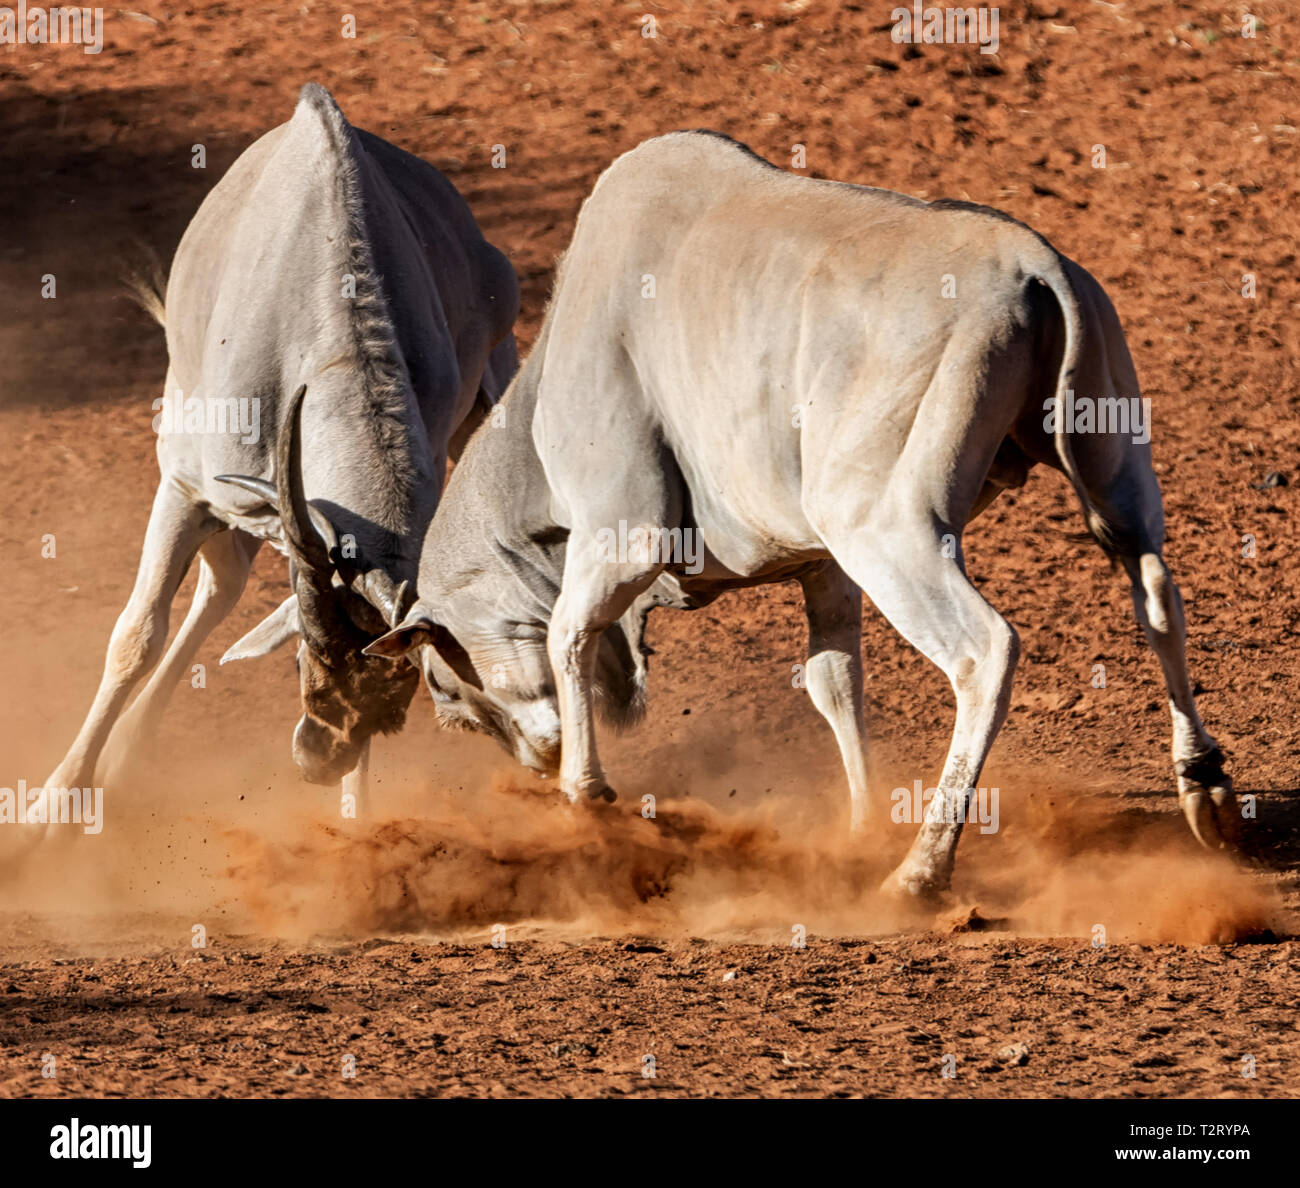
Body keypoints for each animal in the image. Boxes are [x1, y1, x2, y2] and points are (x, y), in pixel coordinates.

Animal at [40, 83, 518, 812]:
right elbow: (136, 635)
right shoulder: (185, 487)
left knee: (222, 584)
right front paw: (52, 808)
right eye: (305, 662)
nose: (317, 762)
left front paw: (357, 821)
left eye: (399, 685)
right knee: (217, 586)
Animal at [362, 130, 1236, 899]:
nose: (535, 765)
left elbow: (567, 633)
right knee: (1156, 591)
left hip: (885, 527)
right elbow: (834, 681)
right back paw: (1205, 789)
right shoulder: (823, 571)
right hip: (1113, 484)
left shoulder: (626, 535)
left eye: (449, 699)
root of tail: (1035, 266)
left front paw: (586, 793)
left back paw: (921, 871)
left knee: (984, 650)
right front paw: (856, 827)